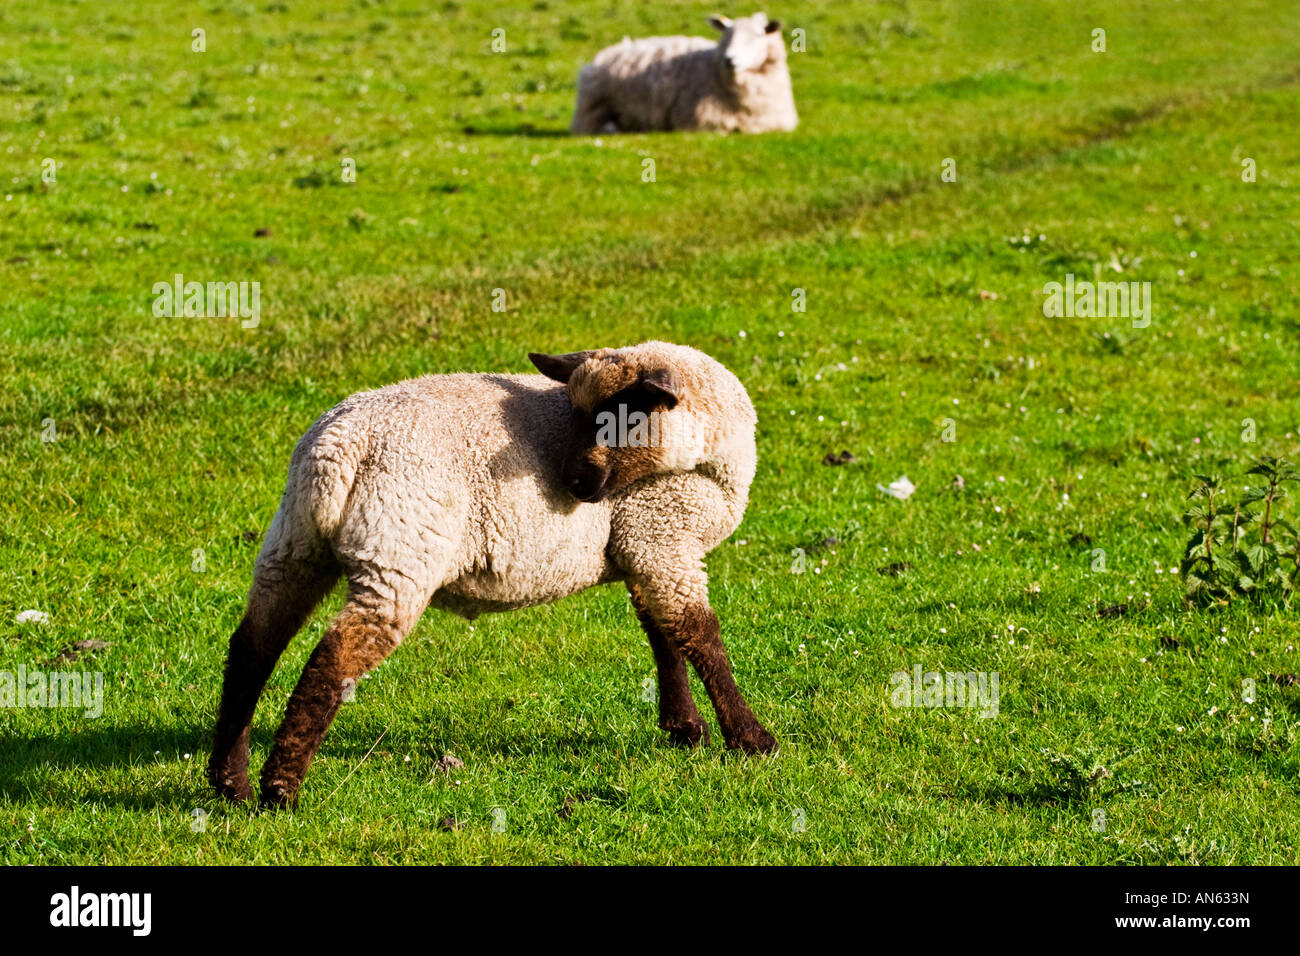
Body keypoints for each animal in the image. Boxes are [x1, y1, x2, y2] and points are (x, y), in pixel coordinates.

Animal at [208, 341, 776, 809]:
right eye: (576, 414)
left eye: (621, 416)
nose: (573, 483)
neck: (710, 455)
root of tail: (334, 450)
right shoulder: (663, 537)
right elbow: (700, 634)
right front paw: (750, 738)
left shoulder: (648, 549)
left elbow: (663, 635)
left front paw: (685, 728)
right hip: (398, 554)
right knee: (334, 657)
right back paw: (280, 790)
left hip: (294, 545)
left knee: (253, 645)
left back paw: (231, 782)